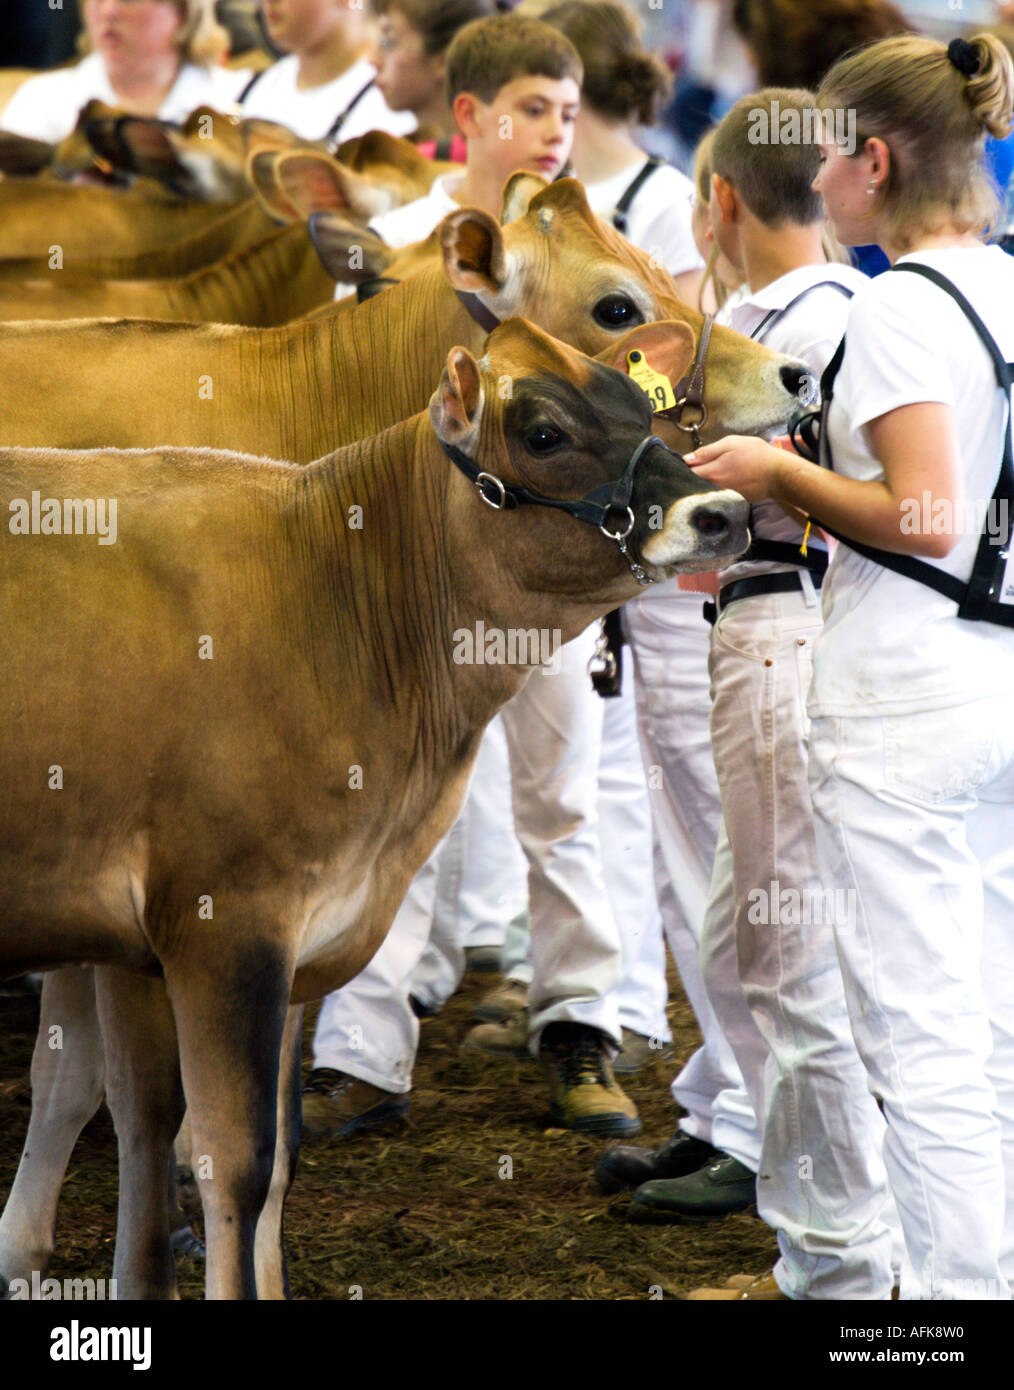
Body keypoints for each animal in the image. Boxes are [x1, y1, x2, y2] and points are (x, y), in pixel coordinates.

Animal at [0, 316, 751, 1299]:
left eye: (645, 408)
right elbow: (230, 1160)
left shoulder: (187, 943)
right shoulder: (224, 923)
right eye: (543, 432)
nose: (726, 511)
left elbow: (216, 1147)